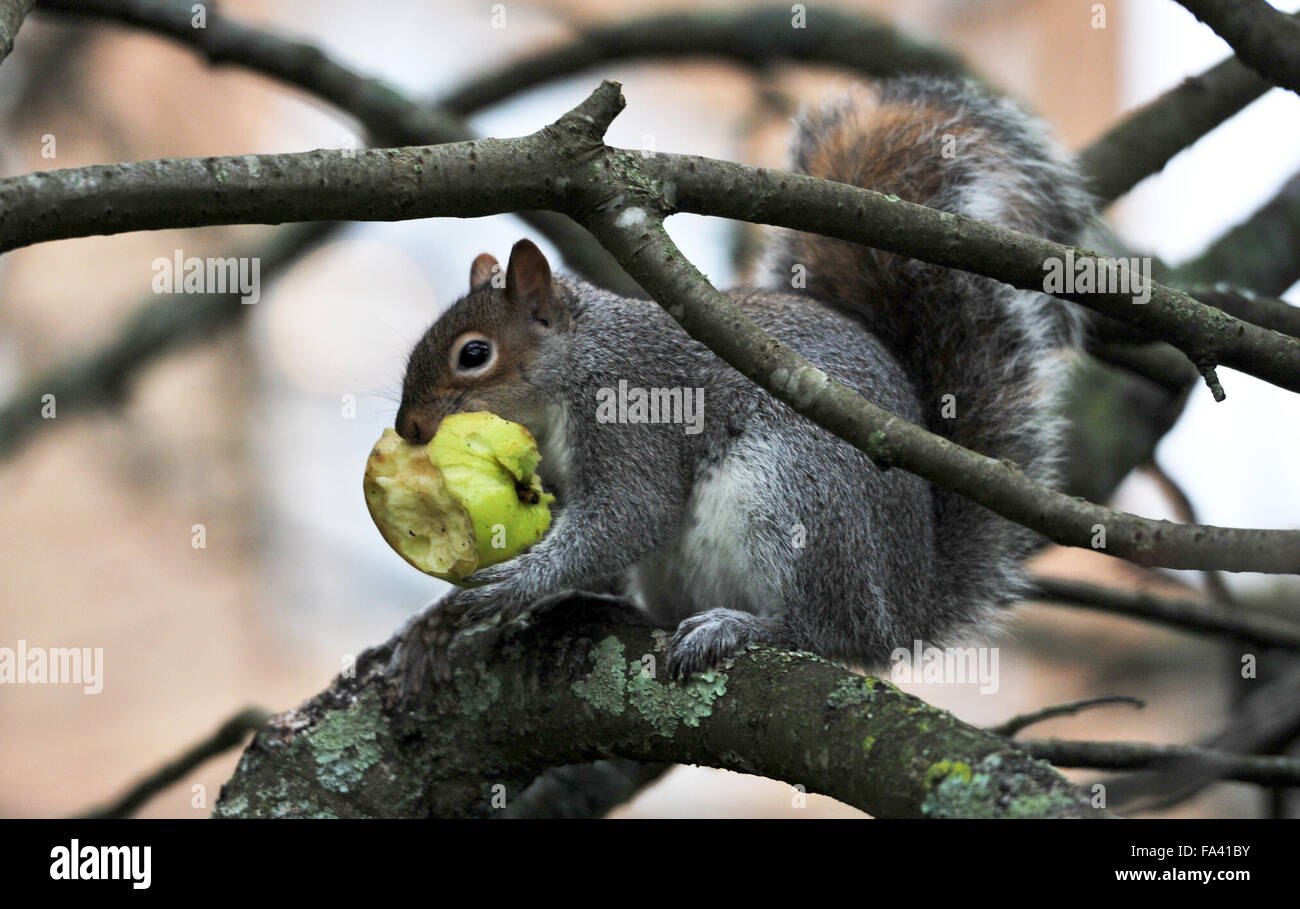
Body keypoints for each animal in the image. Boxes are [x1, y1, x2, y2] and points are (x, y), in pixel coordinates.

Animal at [390, 76, 1093, 685]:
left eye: (474, 354)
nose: (409, 427)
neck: (576, 367)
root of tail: (905, 611)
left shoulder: (629, 414)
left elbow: (630, 515)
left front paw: (514, 584)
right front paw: (445, 620)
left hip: (796, 492)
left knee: (829, 632)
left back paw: (745, 627)